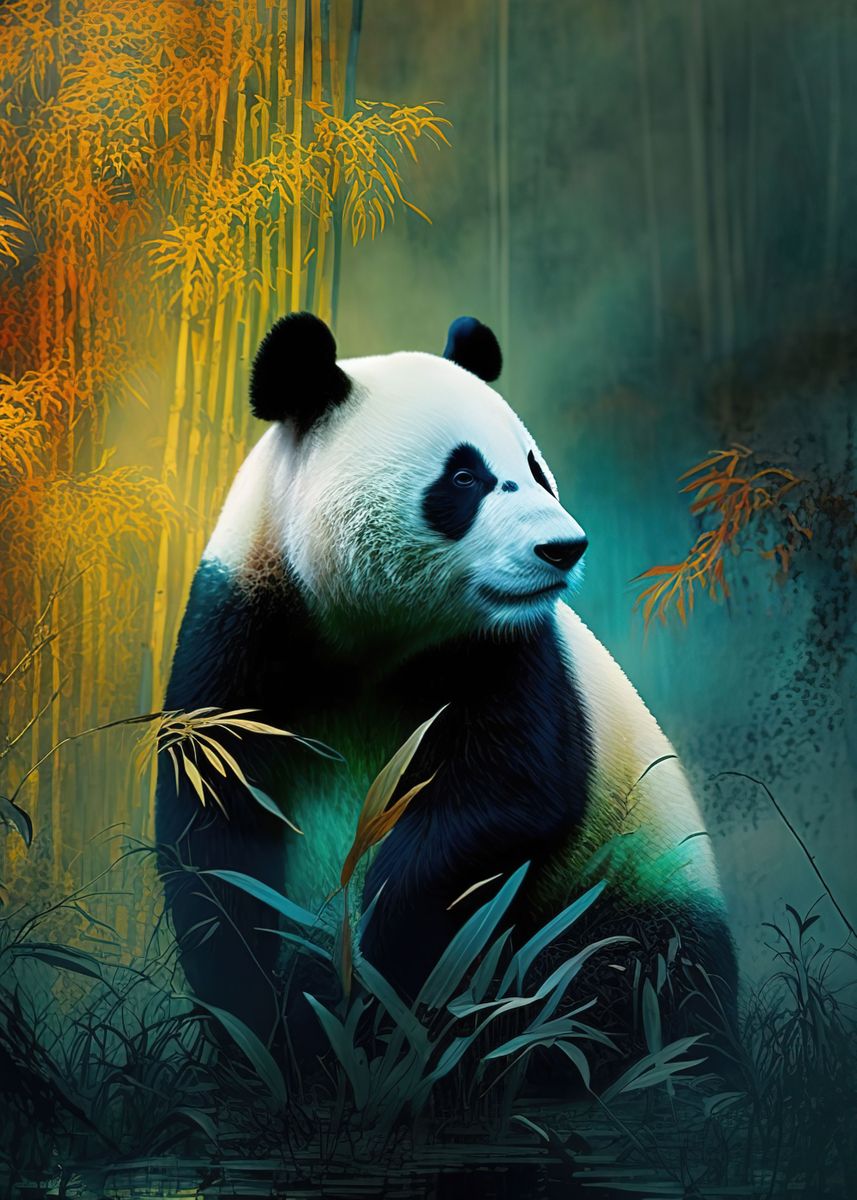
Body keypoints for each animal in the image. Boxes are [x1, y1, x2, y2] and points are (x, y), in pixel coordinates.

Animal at [156, 312, 737, 1069]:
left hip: (628, 880)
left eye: (535, 468)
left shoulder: (504, 654)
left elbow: (496, 801)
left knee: (628, 985)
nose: (563, 548)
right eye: (464, 477)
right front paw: (267, 1026)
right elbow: (215, 826)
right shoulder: (245, 631)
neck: (368, 638)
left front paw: (372, 991)